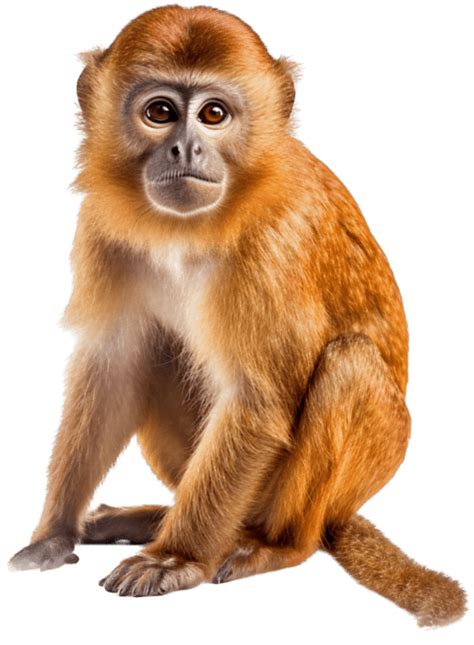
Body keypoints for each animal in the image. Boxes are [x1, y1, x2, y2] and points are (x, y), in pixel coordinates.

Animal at [8, 5, 466, 627]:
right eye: (160, 113)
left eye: (214, 114)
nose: (186, 150)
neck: (189, 231)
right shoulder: (102, 226)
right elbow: (115, 369)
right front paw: (55, 533)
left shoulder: (272, 241)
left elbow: (257, 401)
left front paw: (177, 558)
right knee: (160, 354)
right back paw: (156, 519)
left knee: (346, 364)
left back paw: (271, 545)